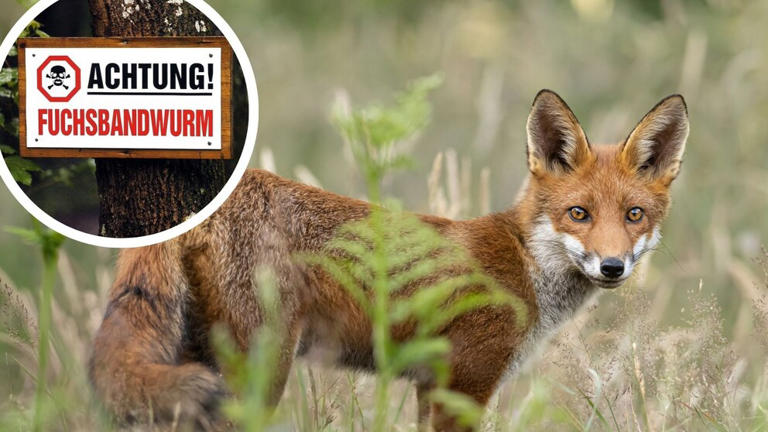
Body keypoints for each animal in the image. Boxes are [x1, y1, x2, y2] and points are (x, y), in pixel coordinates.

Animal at [88, 89, 689, 431]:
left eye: (633, 215)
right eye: (579, 213)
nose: (612, 267)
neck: (524, 266)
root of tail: (201, 209)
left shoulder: (430, 386)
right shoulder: (464, 385)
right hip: (261, 370)